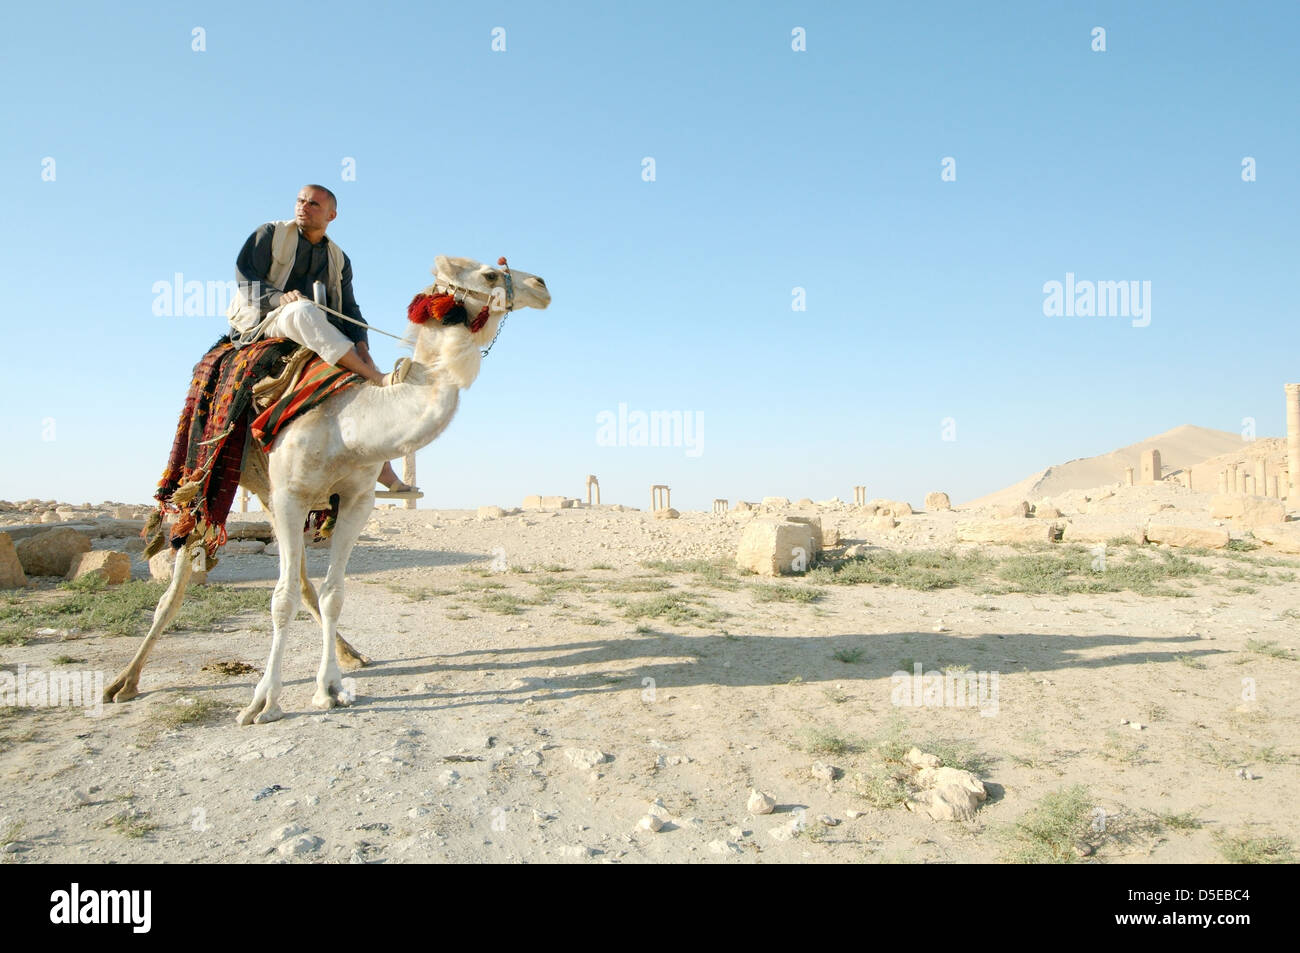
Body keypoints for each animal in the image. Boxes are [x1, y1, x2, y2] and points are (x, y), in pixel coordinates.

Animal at [103, 255, 551, 724]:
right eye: (488, 273)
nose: (542, 284)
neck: (350, 424)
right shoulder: (290, 496)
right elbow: (279, 600)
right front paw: (264, 702)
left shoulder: (355, 501)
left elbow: (333, 593)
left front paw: (330, 688)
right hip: (209, 481)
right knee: (177, 584)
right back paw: (124, 682)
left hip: (270, 493)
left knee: (303, 581)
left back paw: (351, 654)